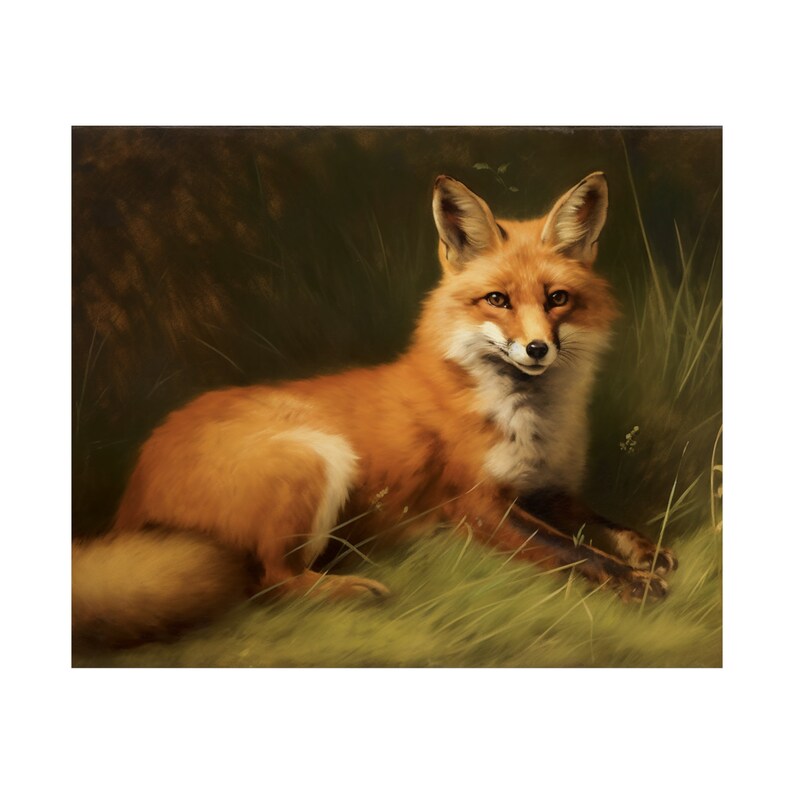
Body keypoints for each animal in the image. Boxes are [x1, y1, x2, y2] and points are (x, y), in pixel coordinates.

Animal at [72, 171, 678, 647]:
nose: (536, 349)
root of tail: (132, 495)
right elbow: (567, 549)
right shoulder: (474, 504)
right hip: (319, 457)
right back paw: (351, 590)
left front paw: (646, 552)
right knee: (268, 581)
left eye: (557, 299)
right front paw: (632, 581)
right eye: (498, 300)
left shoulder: (544, 488)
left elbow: (598, 523)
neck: (529, 421)